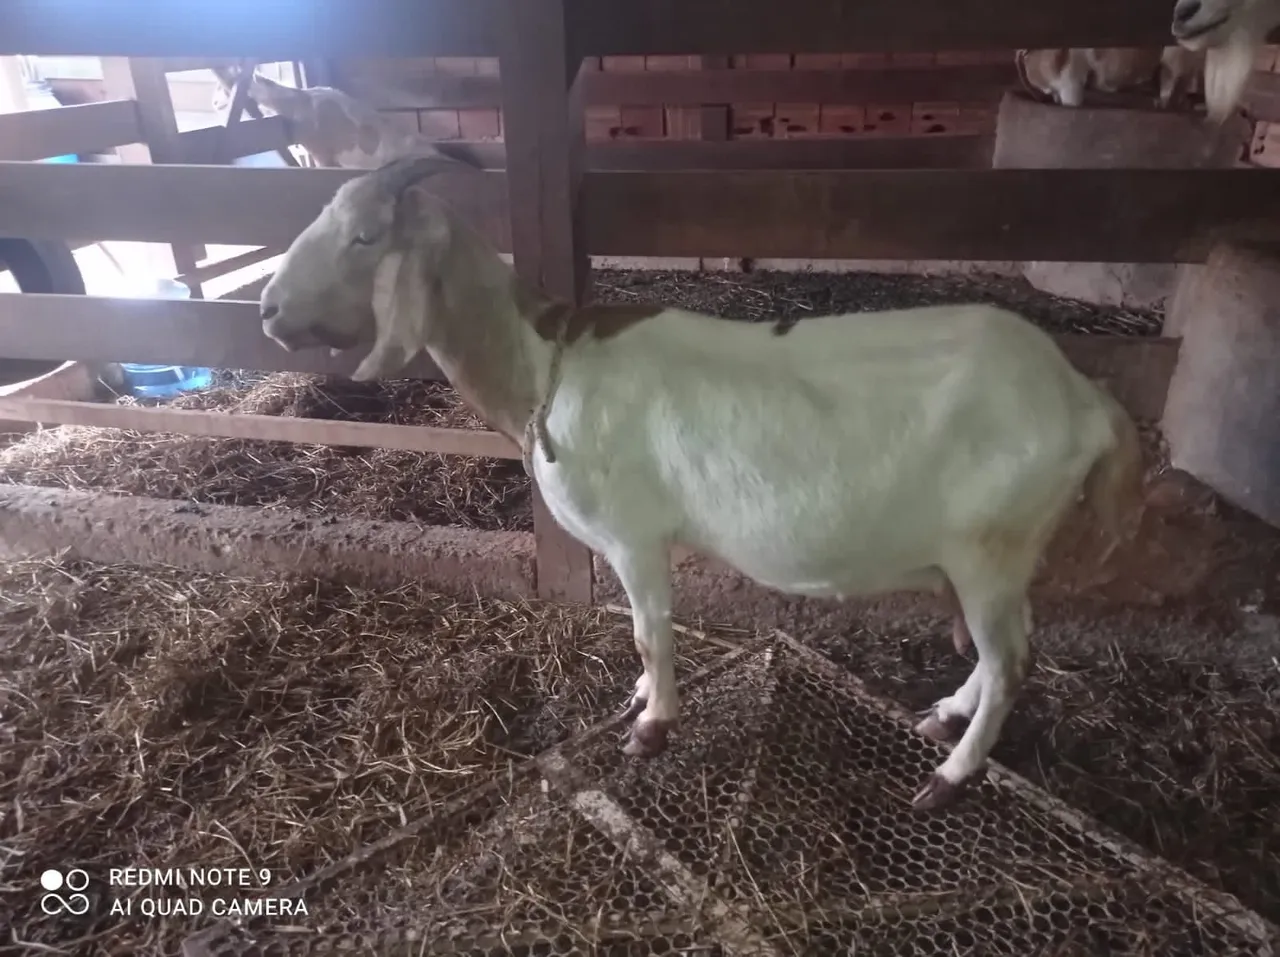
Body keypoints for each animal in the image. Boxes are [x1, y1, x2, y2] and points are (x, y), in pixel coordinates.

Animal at [257, 157, 1145, 812]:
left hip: (991, 543)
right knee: (1007, 648)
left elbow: (650, 630)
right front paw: (639, 698)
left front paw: (652, 725)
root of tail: (1084, 398)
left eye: (364, 236)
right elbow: (640, 638)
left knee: (1012, 661)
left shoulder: (633, 535)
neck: (546, 363)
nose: (266, 310)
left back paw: (948, 777)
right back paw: (946, 717)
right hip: (1001, 552)